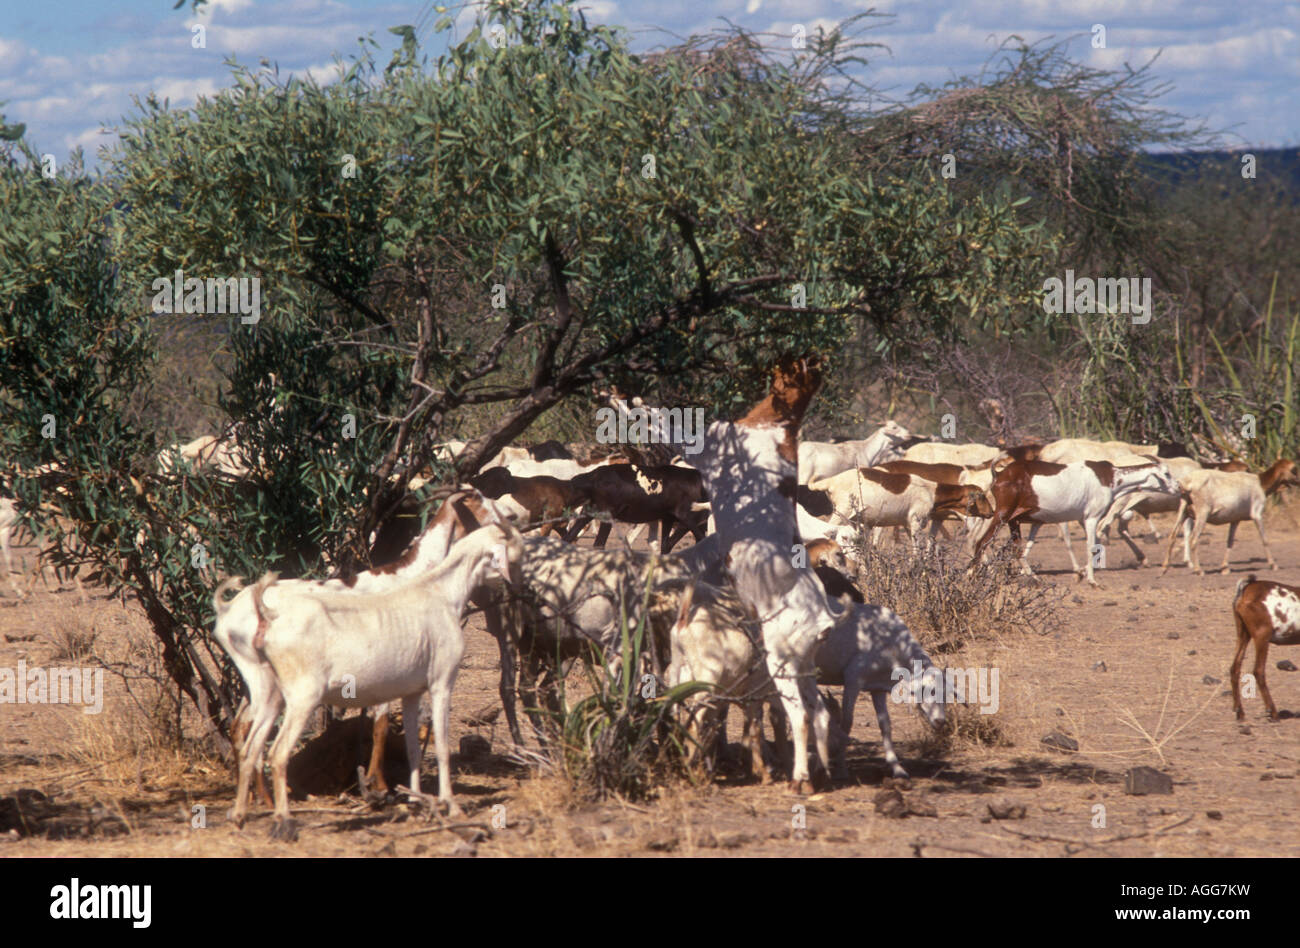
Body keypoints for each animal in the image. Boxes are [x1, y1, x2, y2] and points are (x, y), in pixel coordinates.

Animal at [213, 520, 524, 838]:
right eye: (514, 548)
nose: (519, 582)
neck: (442, 593)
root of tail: (266, 616)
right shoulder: (442, 683)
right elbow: (441, 748)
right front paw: (451, 805)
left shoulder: (412, 693)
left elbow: (414, 750)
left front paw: (416, 801)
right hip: (303, 698)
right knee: (277, 753)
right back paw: (283, 822)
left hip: (269, 694)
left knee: (251, 748)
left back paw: (239, 816)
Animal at [971, 459, 1178, 586]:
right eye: (1167, 473)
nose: (1178, 488)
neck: (1109, 478)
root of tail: (999, 474)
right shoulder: (1091, 518)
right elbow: (1091, 548)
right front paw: (1092, 580)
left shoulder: (1080, 520)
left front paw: (1082, 574)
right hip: (1002, 515)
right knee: (981, 543)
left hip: (1013, 521)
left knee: (1016, 550)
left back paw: (1033, 577)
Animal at [1159, 460, 1299, 575]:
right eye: (1294, 469)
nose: (1299, 482)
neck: (1261, 483)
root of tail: (1187, 483)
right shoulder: (1257, 514)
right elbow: (1264, 539)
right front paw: (1273, 565)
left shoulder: (1235, 520)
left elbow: (1230, 542)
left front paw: (1225, 567)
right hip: (1203, 512)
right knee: (1194, 539)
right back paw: (1199, 570)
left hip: (1183, 510)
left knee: (1172, 535)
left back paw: (1164, 568)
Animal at [1231, 575, 1300, 720]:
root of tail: (1247, 589)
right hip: (1261, 636)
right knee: (1258, 670)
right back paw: (1272, 712)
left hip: (1243, 633)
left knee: (1235, 668)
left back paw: (1240, 712)